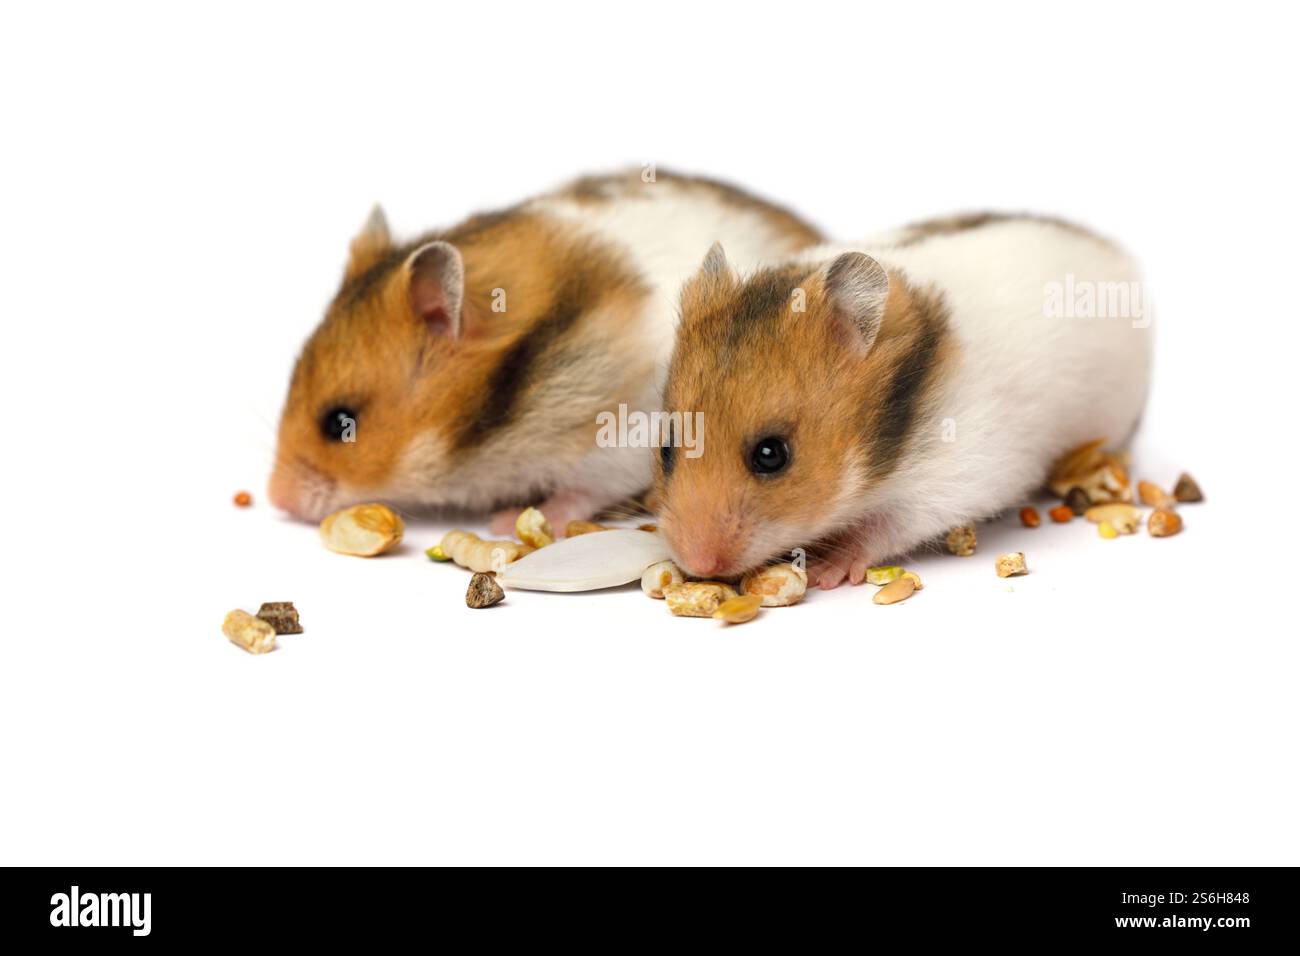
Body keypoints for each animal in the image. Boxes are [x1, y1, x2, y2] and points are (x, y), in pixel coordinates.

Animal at [654, 214, 1152, 587]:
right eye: (666, 449)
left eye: (771, 455)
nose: (697, 566)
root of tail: (1115, 253)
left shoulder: (961, 476)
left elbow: (886, 524)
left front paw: (825, 571)